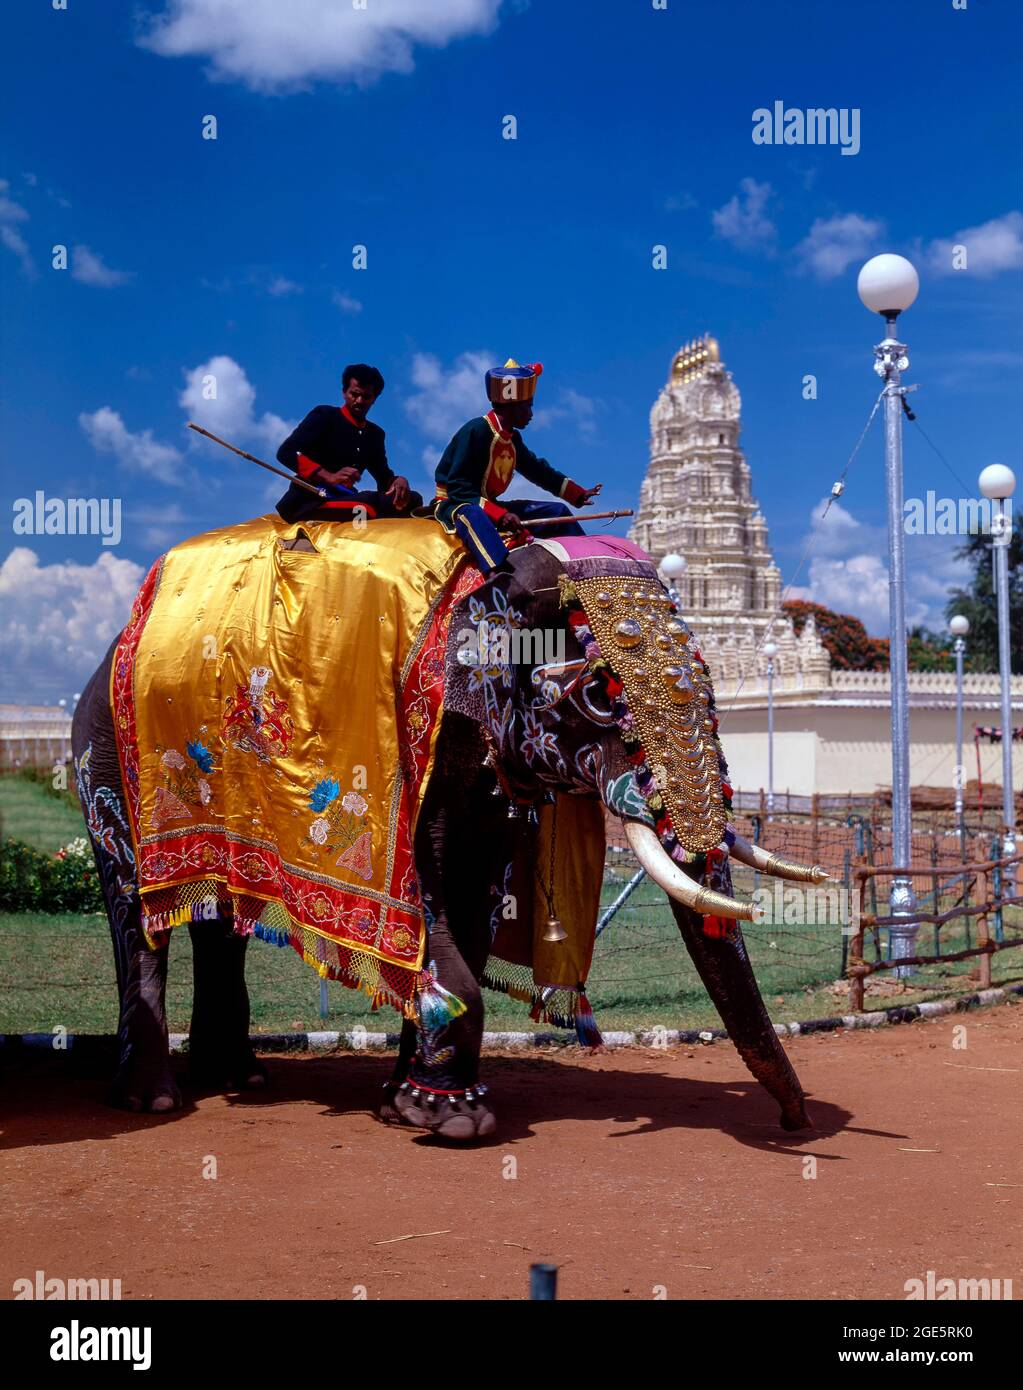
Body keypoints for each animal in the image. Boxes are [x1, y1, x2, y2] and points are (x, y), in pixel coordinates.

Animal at [71, 529, 824, 1140]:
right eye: (599, 698)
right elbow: (426, 907)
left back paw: (238, 1078)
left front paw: (405, 1105)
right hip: (103, 755)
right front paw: (455, 1121)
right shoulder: (423, 746)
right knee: (136, 910)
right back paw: (153, 1098)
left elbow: (471, 902)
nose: (795, 1123)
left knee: (217, 918)